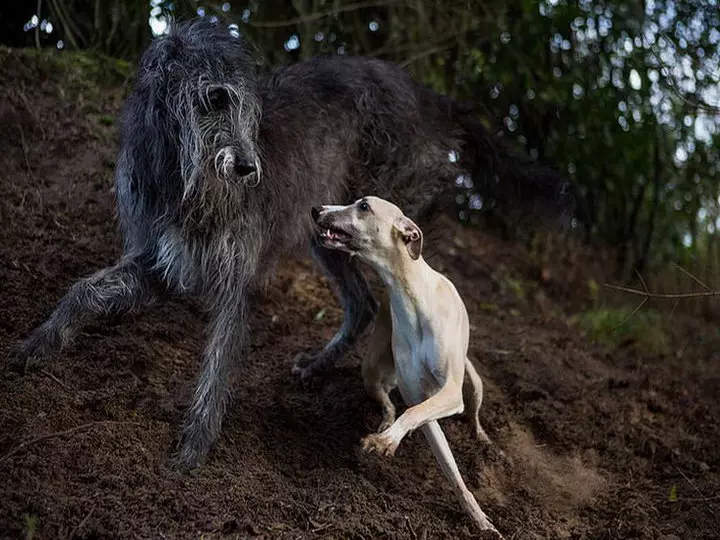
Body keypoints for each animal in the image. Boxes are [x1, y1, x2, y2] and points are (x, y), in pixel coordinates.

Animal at [8, 17, 576, 468]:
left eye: (250, 111)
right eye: (213, 98)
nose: (248, 169)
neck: (182, 179)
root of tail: (435, 100)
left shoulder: (233, 277)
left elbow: (218, 358)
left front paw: (196, 444)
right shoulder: (159, 263)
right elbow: (83, 292)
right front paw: (35, 345)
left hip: (385, 225)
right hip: (329, 232)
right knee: (363, 304)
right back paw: (318, 365)